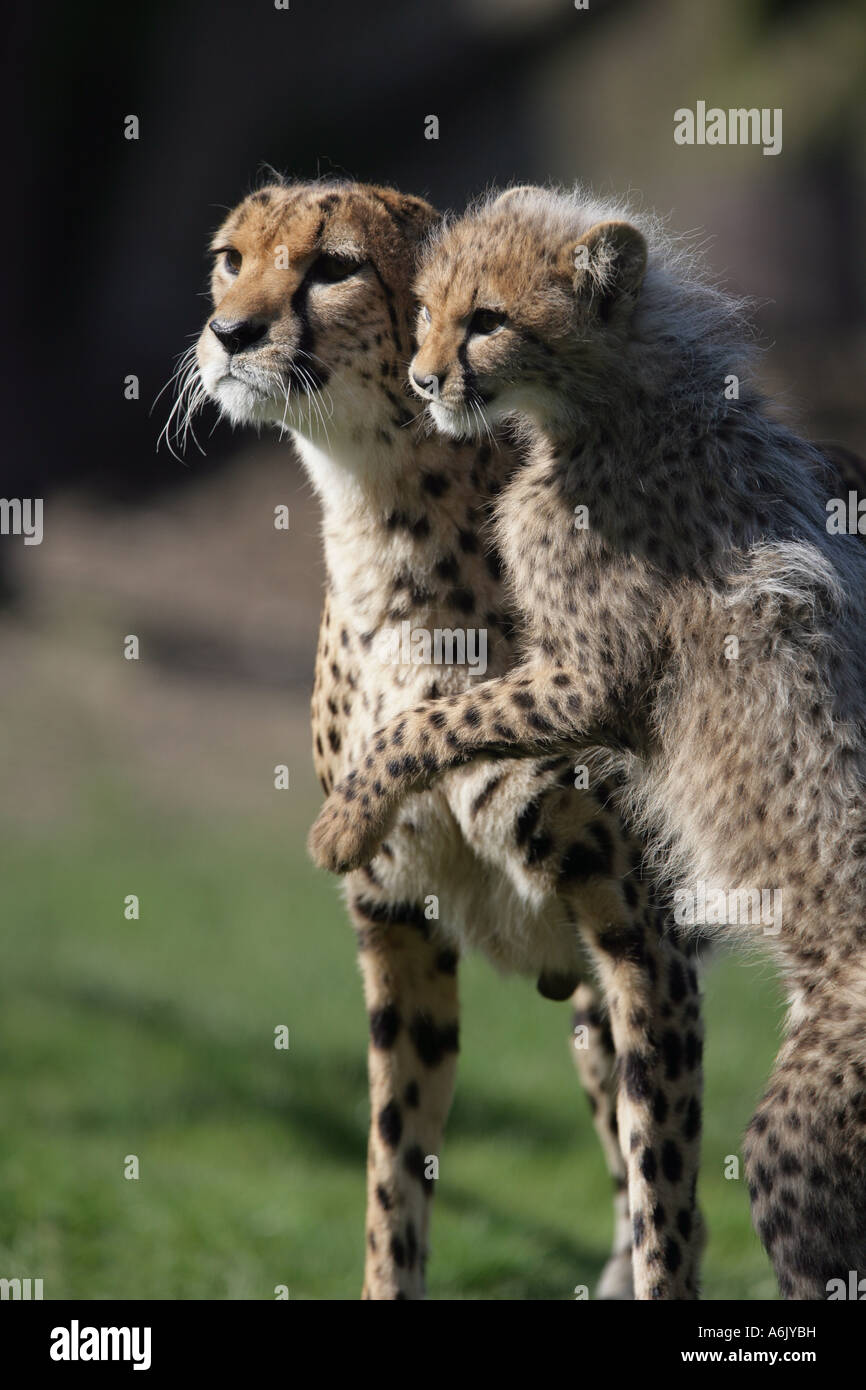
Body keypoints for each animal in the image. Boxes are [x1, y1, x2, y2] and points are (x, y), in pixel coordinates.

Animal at [189, 177, 705, 1300]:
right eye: (229, 258)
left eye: (332, 266)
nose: (227, 333)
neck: (386, 527)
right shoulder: (397, 922)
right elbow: (394, 1177)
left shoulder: (642, 936)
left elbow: (669, 1200)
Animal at [308, 184, 866, 1300]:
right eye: (425, 309)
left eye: (487, 320)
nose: (426, 379)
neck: (617, 393)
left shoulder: (587, 676)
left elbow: (435, 719)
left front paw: (348, 815)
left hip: (796, 1142)